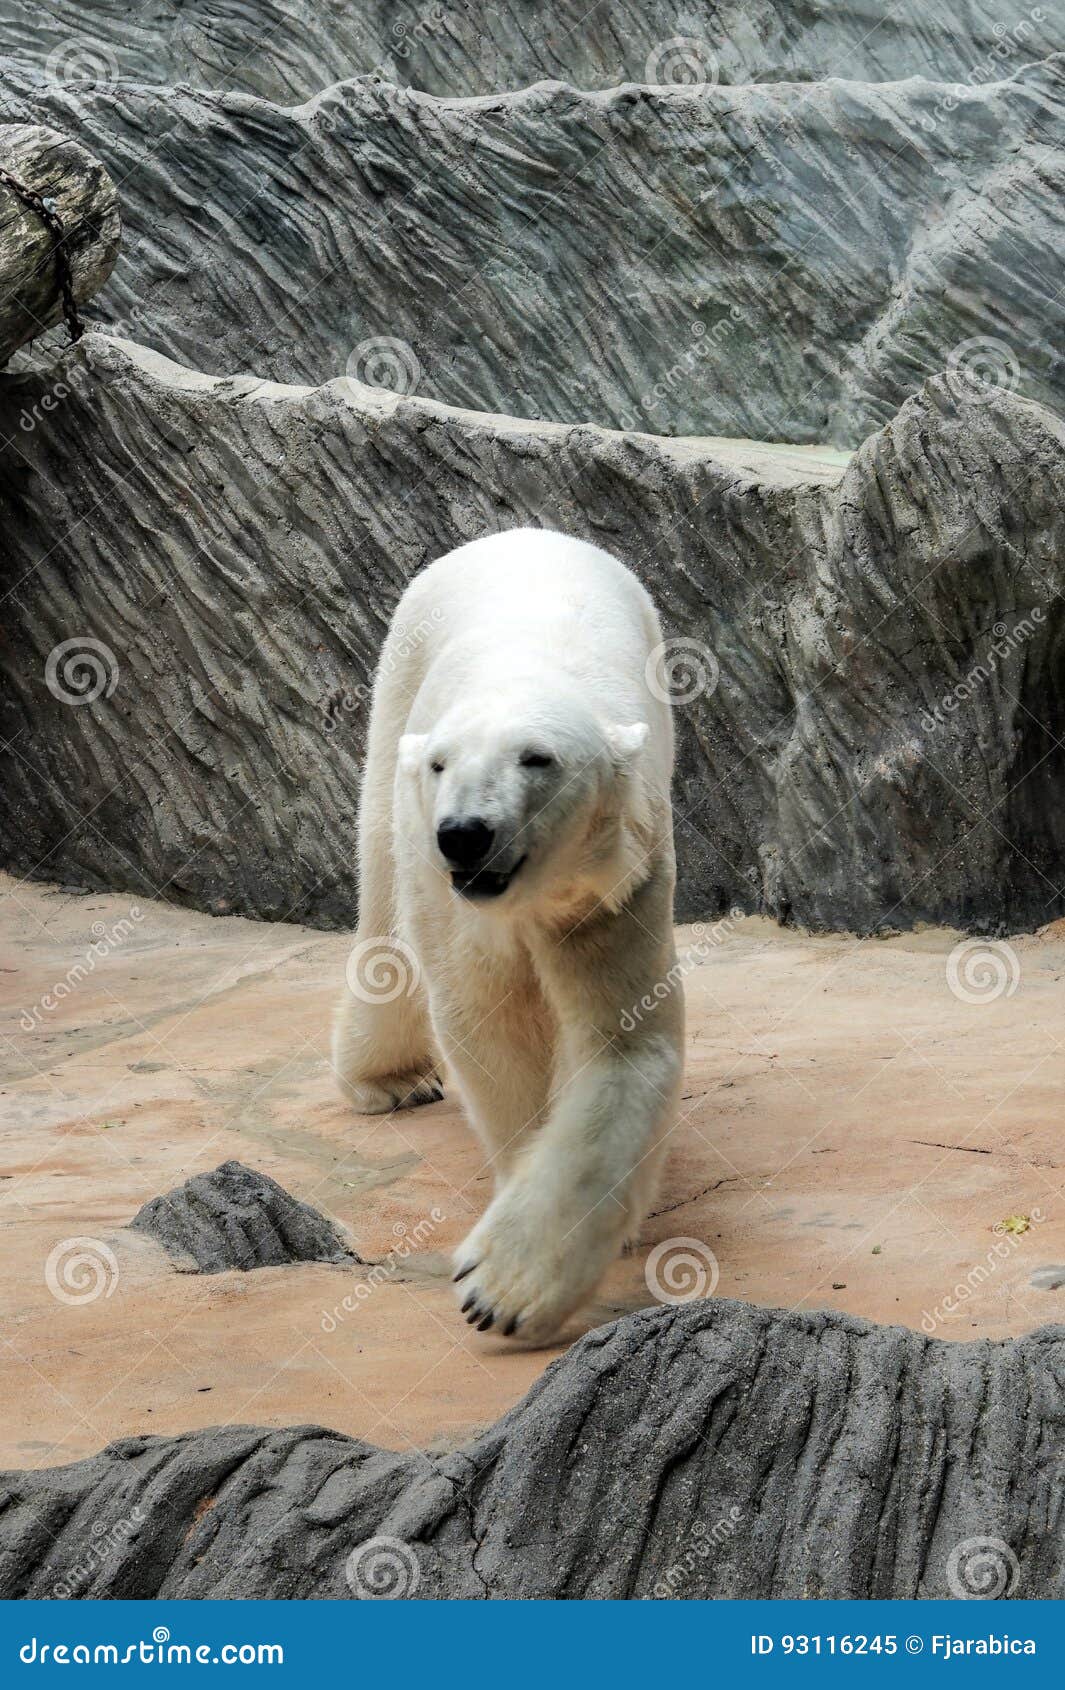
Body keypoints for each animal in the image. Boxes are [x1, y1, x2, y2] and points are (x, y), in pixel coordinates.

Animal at [333, 527, 684, 1341]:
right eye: (442, 764)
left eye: (537, 758)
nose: (464, 834)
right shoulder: (457, 905)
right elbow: (489, 1025)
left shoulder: (618, 882)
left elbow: (621, 1046)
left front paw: (505, 1287)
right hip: (395, 702)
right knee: (382, 904)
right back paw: (390, 1078)